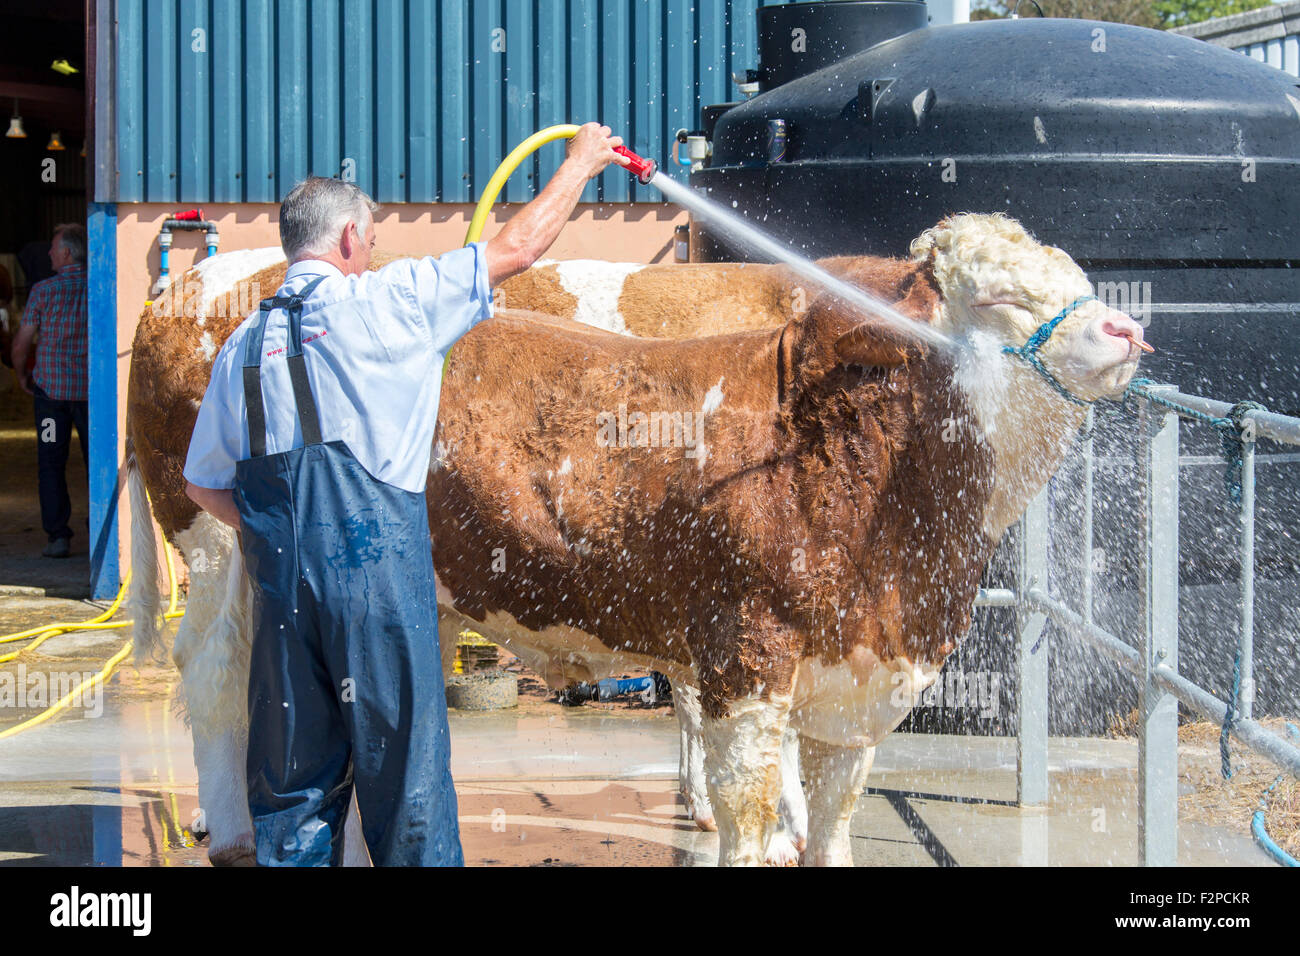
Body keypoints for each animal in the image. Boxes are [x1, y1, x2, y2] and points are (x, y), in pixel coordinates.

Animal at [128, 212, 1146, 865]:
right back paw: (233, 831)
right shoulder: (745, 657)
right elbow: (750, 805)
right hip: (217, 554)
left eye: (1076, 275)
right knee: (218, 682)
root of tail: (202, 281)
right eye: (1004, 297)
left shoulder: (857, 680)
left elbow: (834, 816)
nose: (1128, 326)